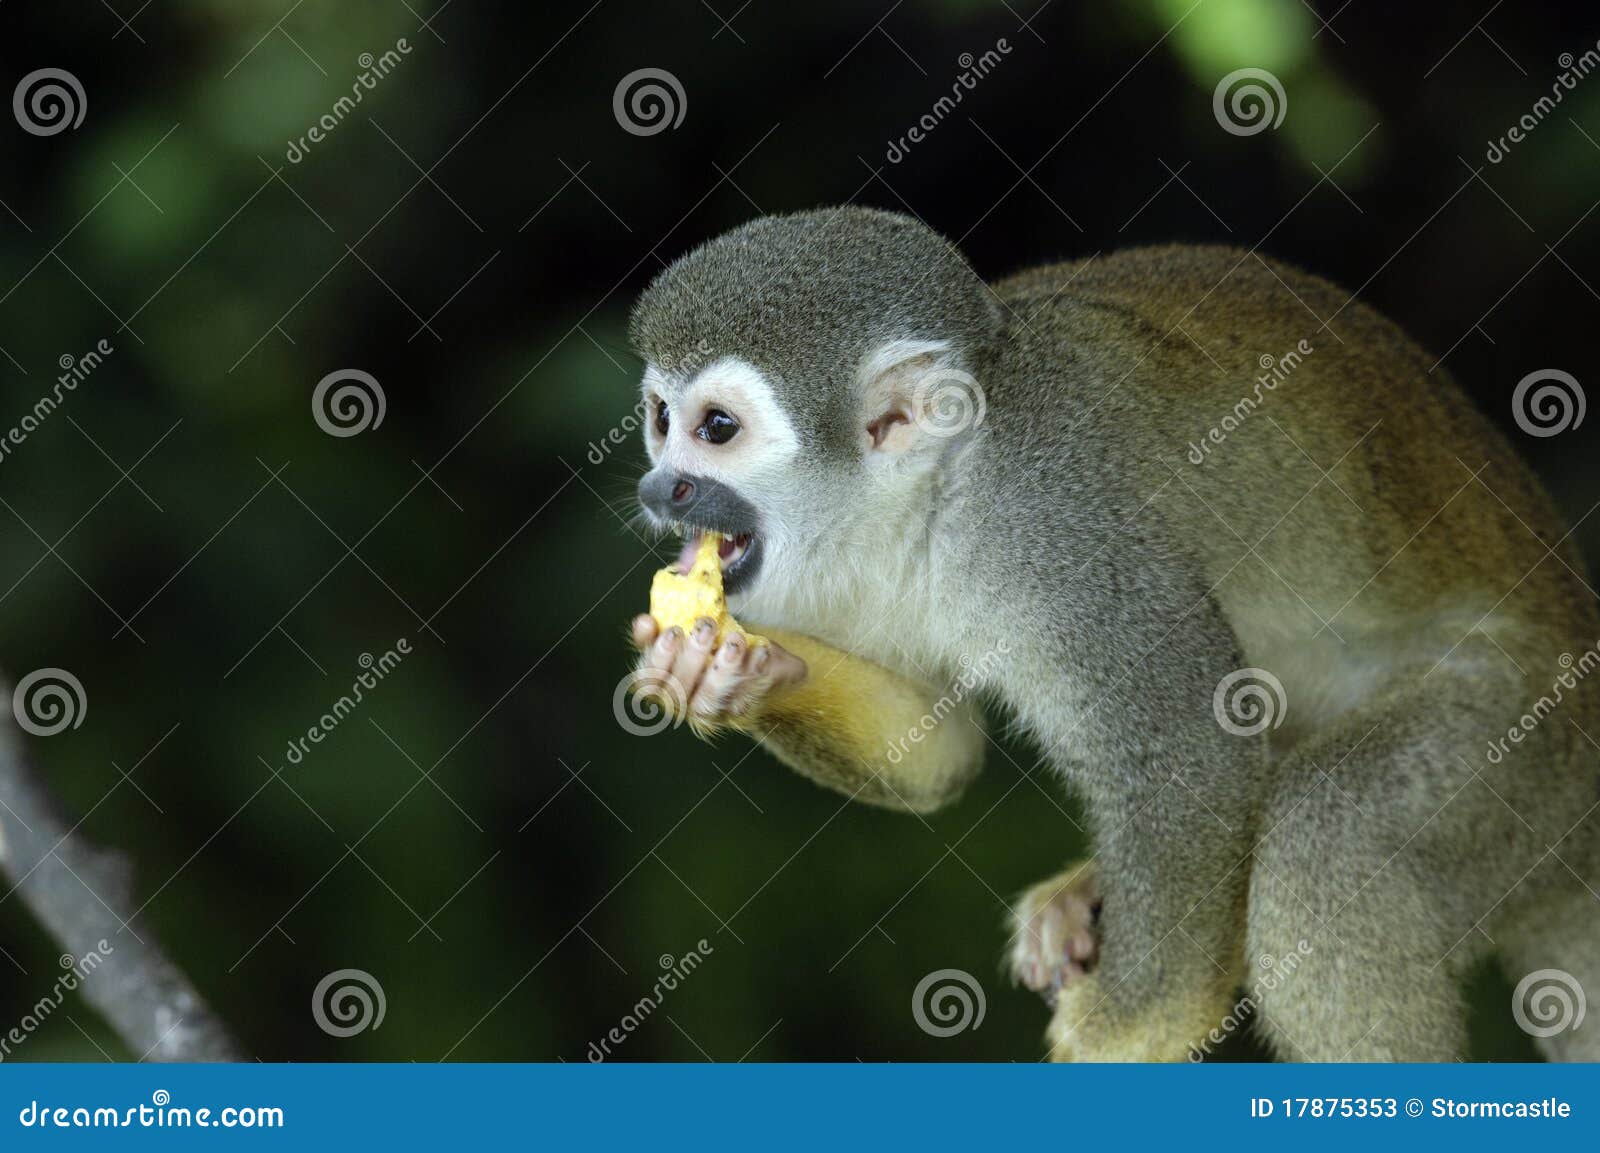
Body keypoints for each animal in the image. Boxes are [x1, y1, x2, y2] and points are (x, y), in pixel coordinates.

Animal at [623, 206, 1600, 1062]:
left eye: (717, 428)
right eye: (661, 420)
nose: (657, 487)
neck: (940, 493)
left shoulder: (1070, 537)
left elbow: (1193, 761)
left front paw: (1122, 1040)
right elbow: (939, 756)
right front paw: (730, 672)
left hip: (1535, 758)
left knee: (1328, 833)